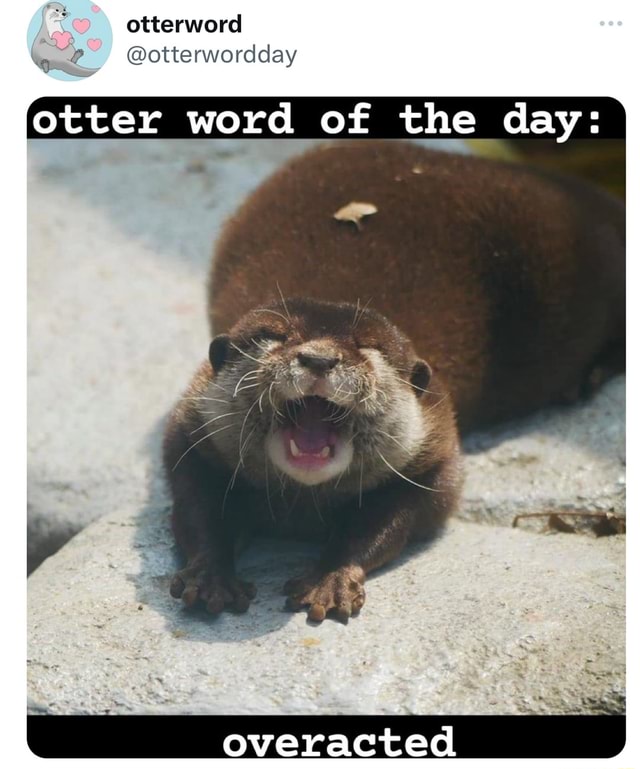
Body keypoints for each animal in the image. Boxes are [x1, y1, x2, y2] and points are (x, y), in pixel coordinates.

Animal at [164, 141, 625, 622]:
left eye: (366, 346)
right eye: (278, 335)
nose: (319, 357)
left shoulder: (435, 454)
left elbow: (391, 521)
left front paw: (329, 579)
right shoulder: (192, 431)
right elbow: (196, 508)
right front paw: (210, 576)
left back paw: (586, 379)